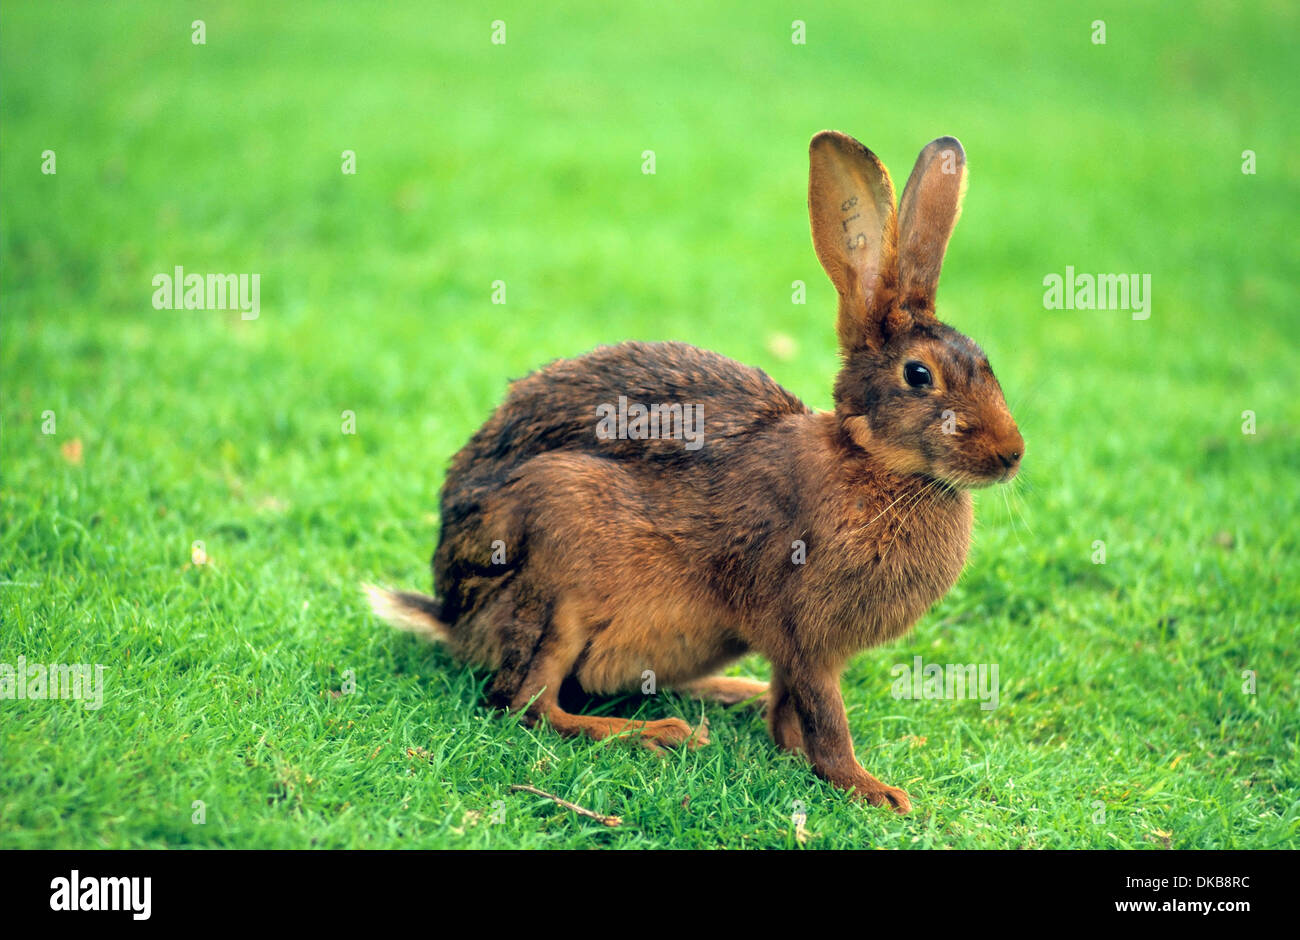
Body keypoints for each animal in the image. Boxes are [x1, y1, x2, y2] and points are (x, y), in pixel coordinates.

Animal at [367, 130, 1023, 813]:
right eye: (919, 375)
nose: (1013, 455)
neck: (871, 462)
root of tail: (454, 614)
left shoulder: (794, 648)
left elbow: (791, 711)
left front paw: (791, 747)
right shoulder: (806, 636)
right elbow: (825, 720)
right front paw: (873, 791)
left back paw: (731, 693)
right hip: (557, 566)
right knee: (527, 704)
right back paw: (659, 733)